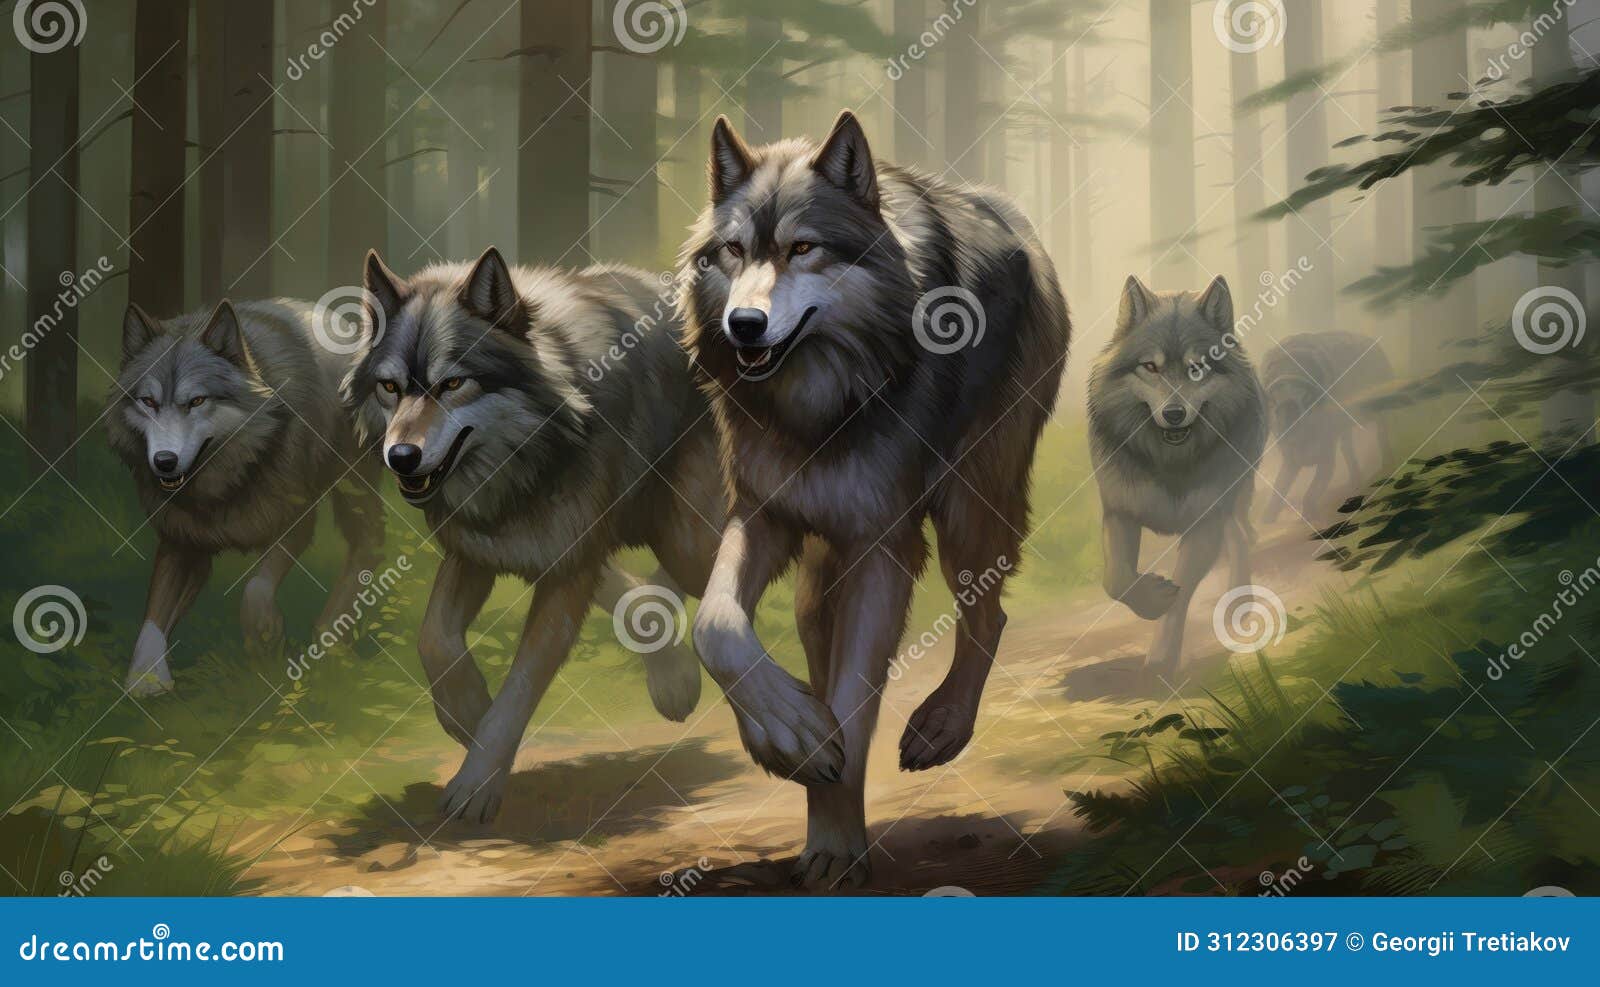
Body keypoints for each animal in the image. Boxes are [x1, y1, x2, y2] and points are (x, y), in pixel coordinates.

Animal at [109, 299, 384, 696]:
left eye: (197, 401)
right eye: (148, 401)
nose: (164, 461)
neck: (226, 485)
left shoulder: (297, 522)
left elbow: (255, 589)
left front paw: (265, 636)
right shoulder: (181, 543)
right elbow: (153, 615)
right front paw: (146, 678)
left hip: (352, 486)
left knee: (370, 545)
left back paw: (329, 637)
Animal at [344, 247, 722, 823]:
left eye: (452, 384)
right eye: (390, 387)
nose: (401, 457)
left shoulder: (566, 569)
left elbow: (519, 689)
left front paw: (475, 783)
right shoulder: (478, 549)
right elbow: (434, 640)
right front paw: (466, 713)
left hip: (686, 540)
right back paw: (669, 667)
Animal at [681, 111, 1070, 888]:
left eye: (803, 248)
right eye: (734, 252)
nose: (743, 325)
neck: (818, 409)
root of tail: (1009, 212)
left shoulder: (884, 547)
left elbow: (856, 703)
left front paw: (836, 842)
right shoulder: (762, 514)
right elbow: (717, 626)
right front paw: (790, 737)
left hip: (966, 511)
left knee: (989, 615)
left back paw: (942, 726)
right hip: (820, 573)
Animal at [1085, 275, 1266, 680]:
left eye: (1197, 368)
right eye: (1150, 367)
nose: (1173, 414)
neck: (1168, 462)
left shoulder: (1205, 522)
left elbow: (1182, 593)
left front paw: (1162, 659)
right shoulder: (1120, 511)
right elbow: (1116, 581)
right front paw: (1153, 601)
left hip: (1235, 495)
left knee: (1242, 537)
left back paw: (1239, 603)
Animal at [1259, 331, 1393, 523]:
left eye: (1307, 396)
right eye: (1273, 398)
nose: (1288, 419)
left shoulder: (1326, 456)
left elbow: (1310, 494)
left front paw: (1310, 516)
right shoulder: (1290, 459)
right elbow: (1279, 488)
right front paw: (1265, 520)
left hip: (1373, 413)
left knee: (1381, 431)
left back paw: (1386, 465)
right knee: (1348, 448)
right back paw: (1354, 481)